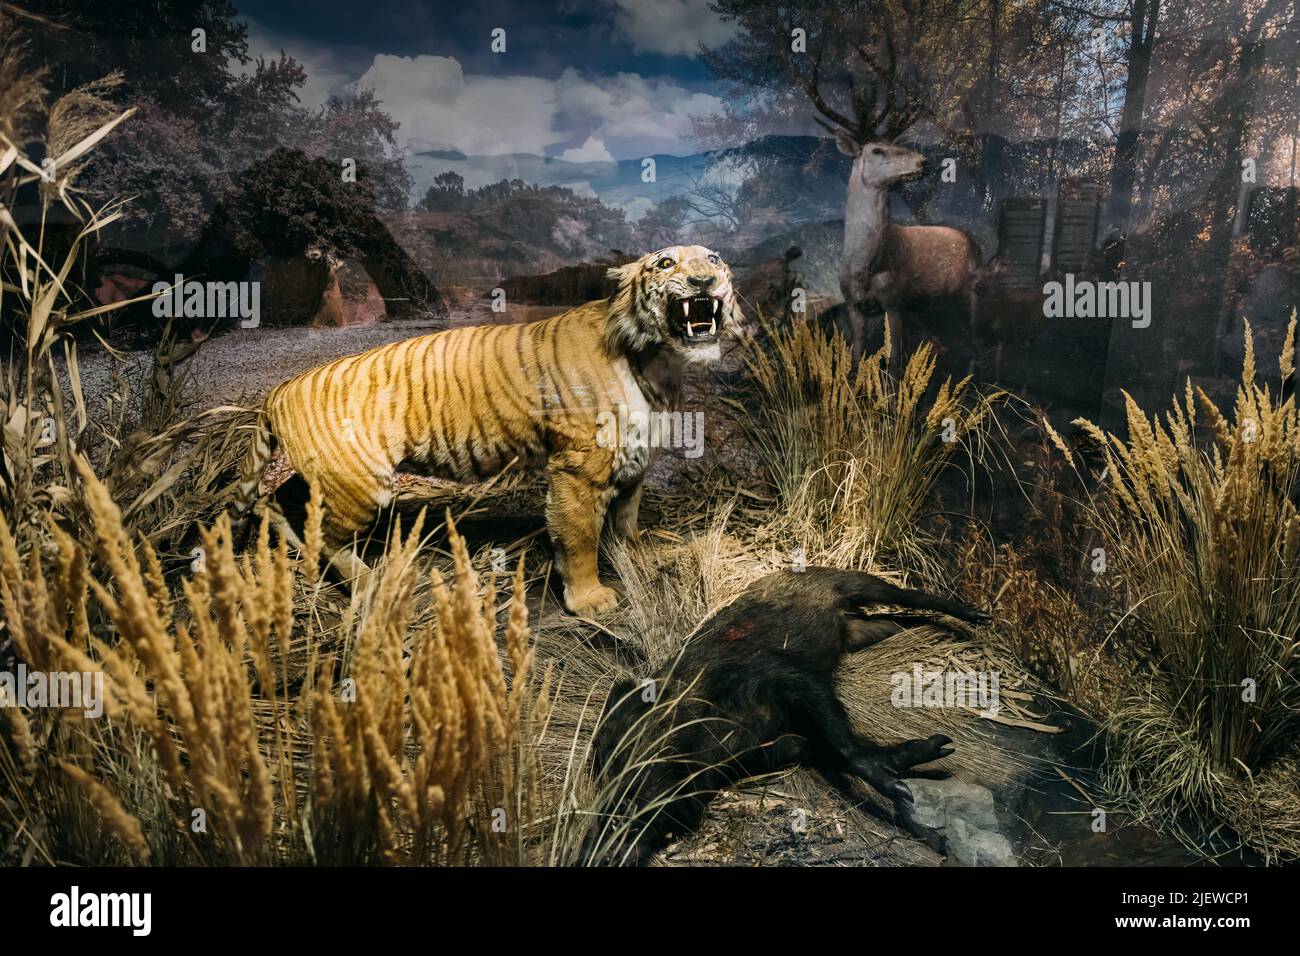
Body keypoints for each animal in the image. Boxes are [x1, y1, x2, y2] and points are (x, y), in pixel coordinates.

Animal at [230, 245, 741, 615]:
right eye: (666, 262)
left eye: (714, 259)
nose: (704, 280)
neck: (659, 363)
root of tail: (279, 390)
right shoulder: (579, 467)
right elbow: (579, 536)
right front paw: (589, 599)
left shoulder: (634, 457)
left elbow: (626, 519)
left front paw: (635, 559)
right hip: (357, 482)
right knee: (328, 537)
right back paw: (377, 582)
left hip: (325, 478)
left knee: (280, 505)